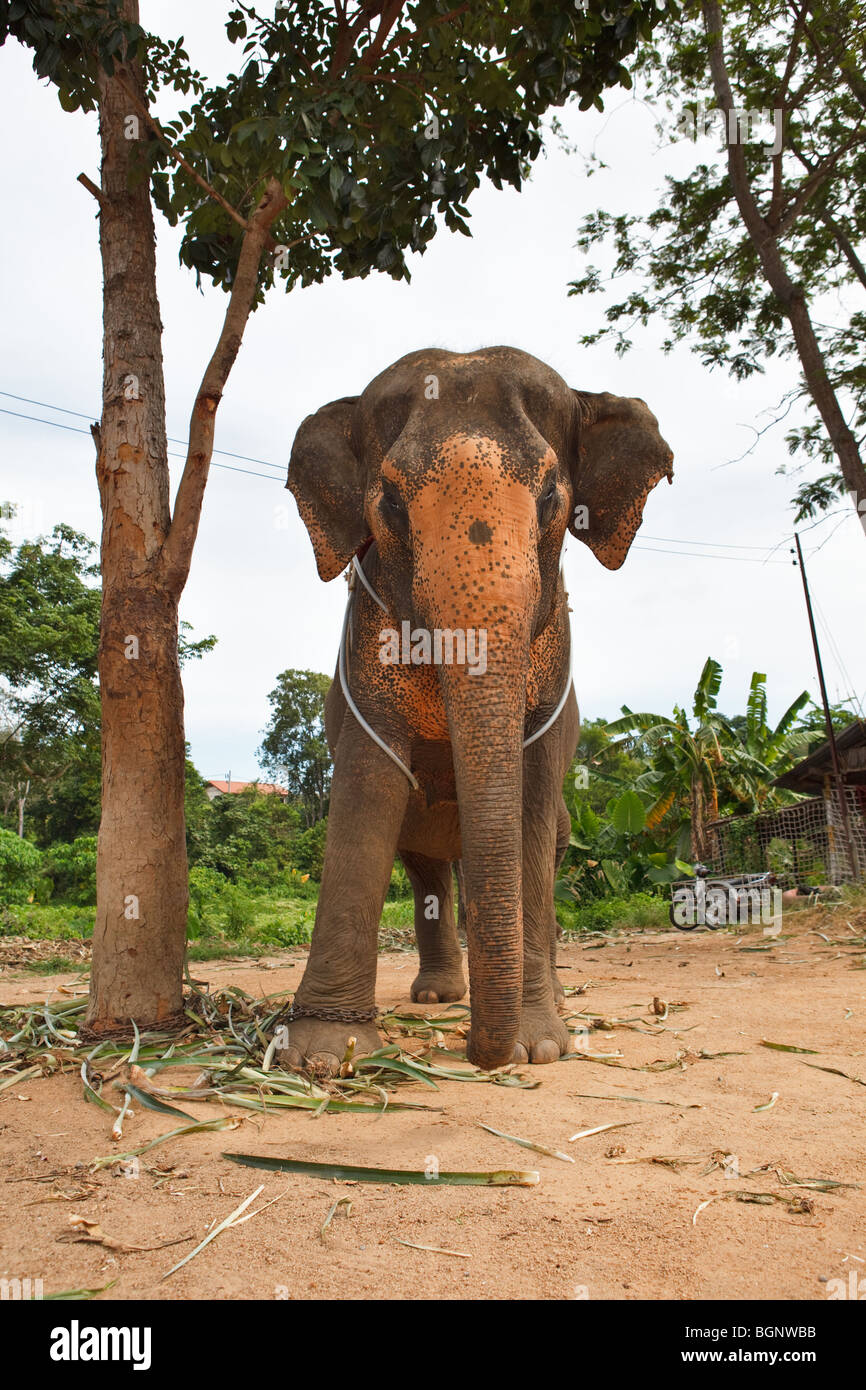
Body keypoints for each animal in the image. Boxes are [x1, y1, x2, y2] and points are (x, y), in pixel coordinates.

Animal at [280, 346, 673, 1073]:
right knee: (425, 864)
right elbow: (366, 790)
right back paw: (438, 998)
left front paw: (540, 1047)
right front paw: (323, 1055)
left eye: (551, 497)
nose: (480, 1056)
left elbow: (533, 799)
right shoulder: (365, 641)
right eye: (389, 502)